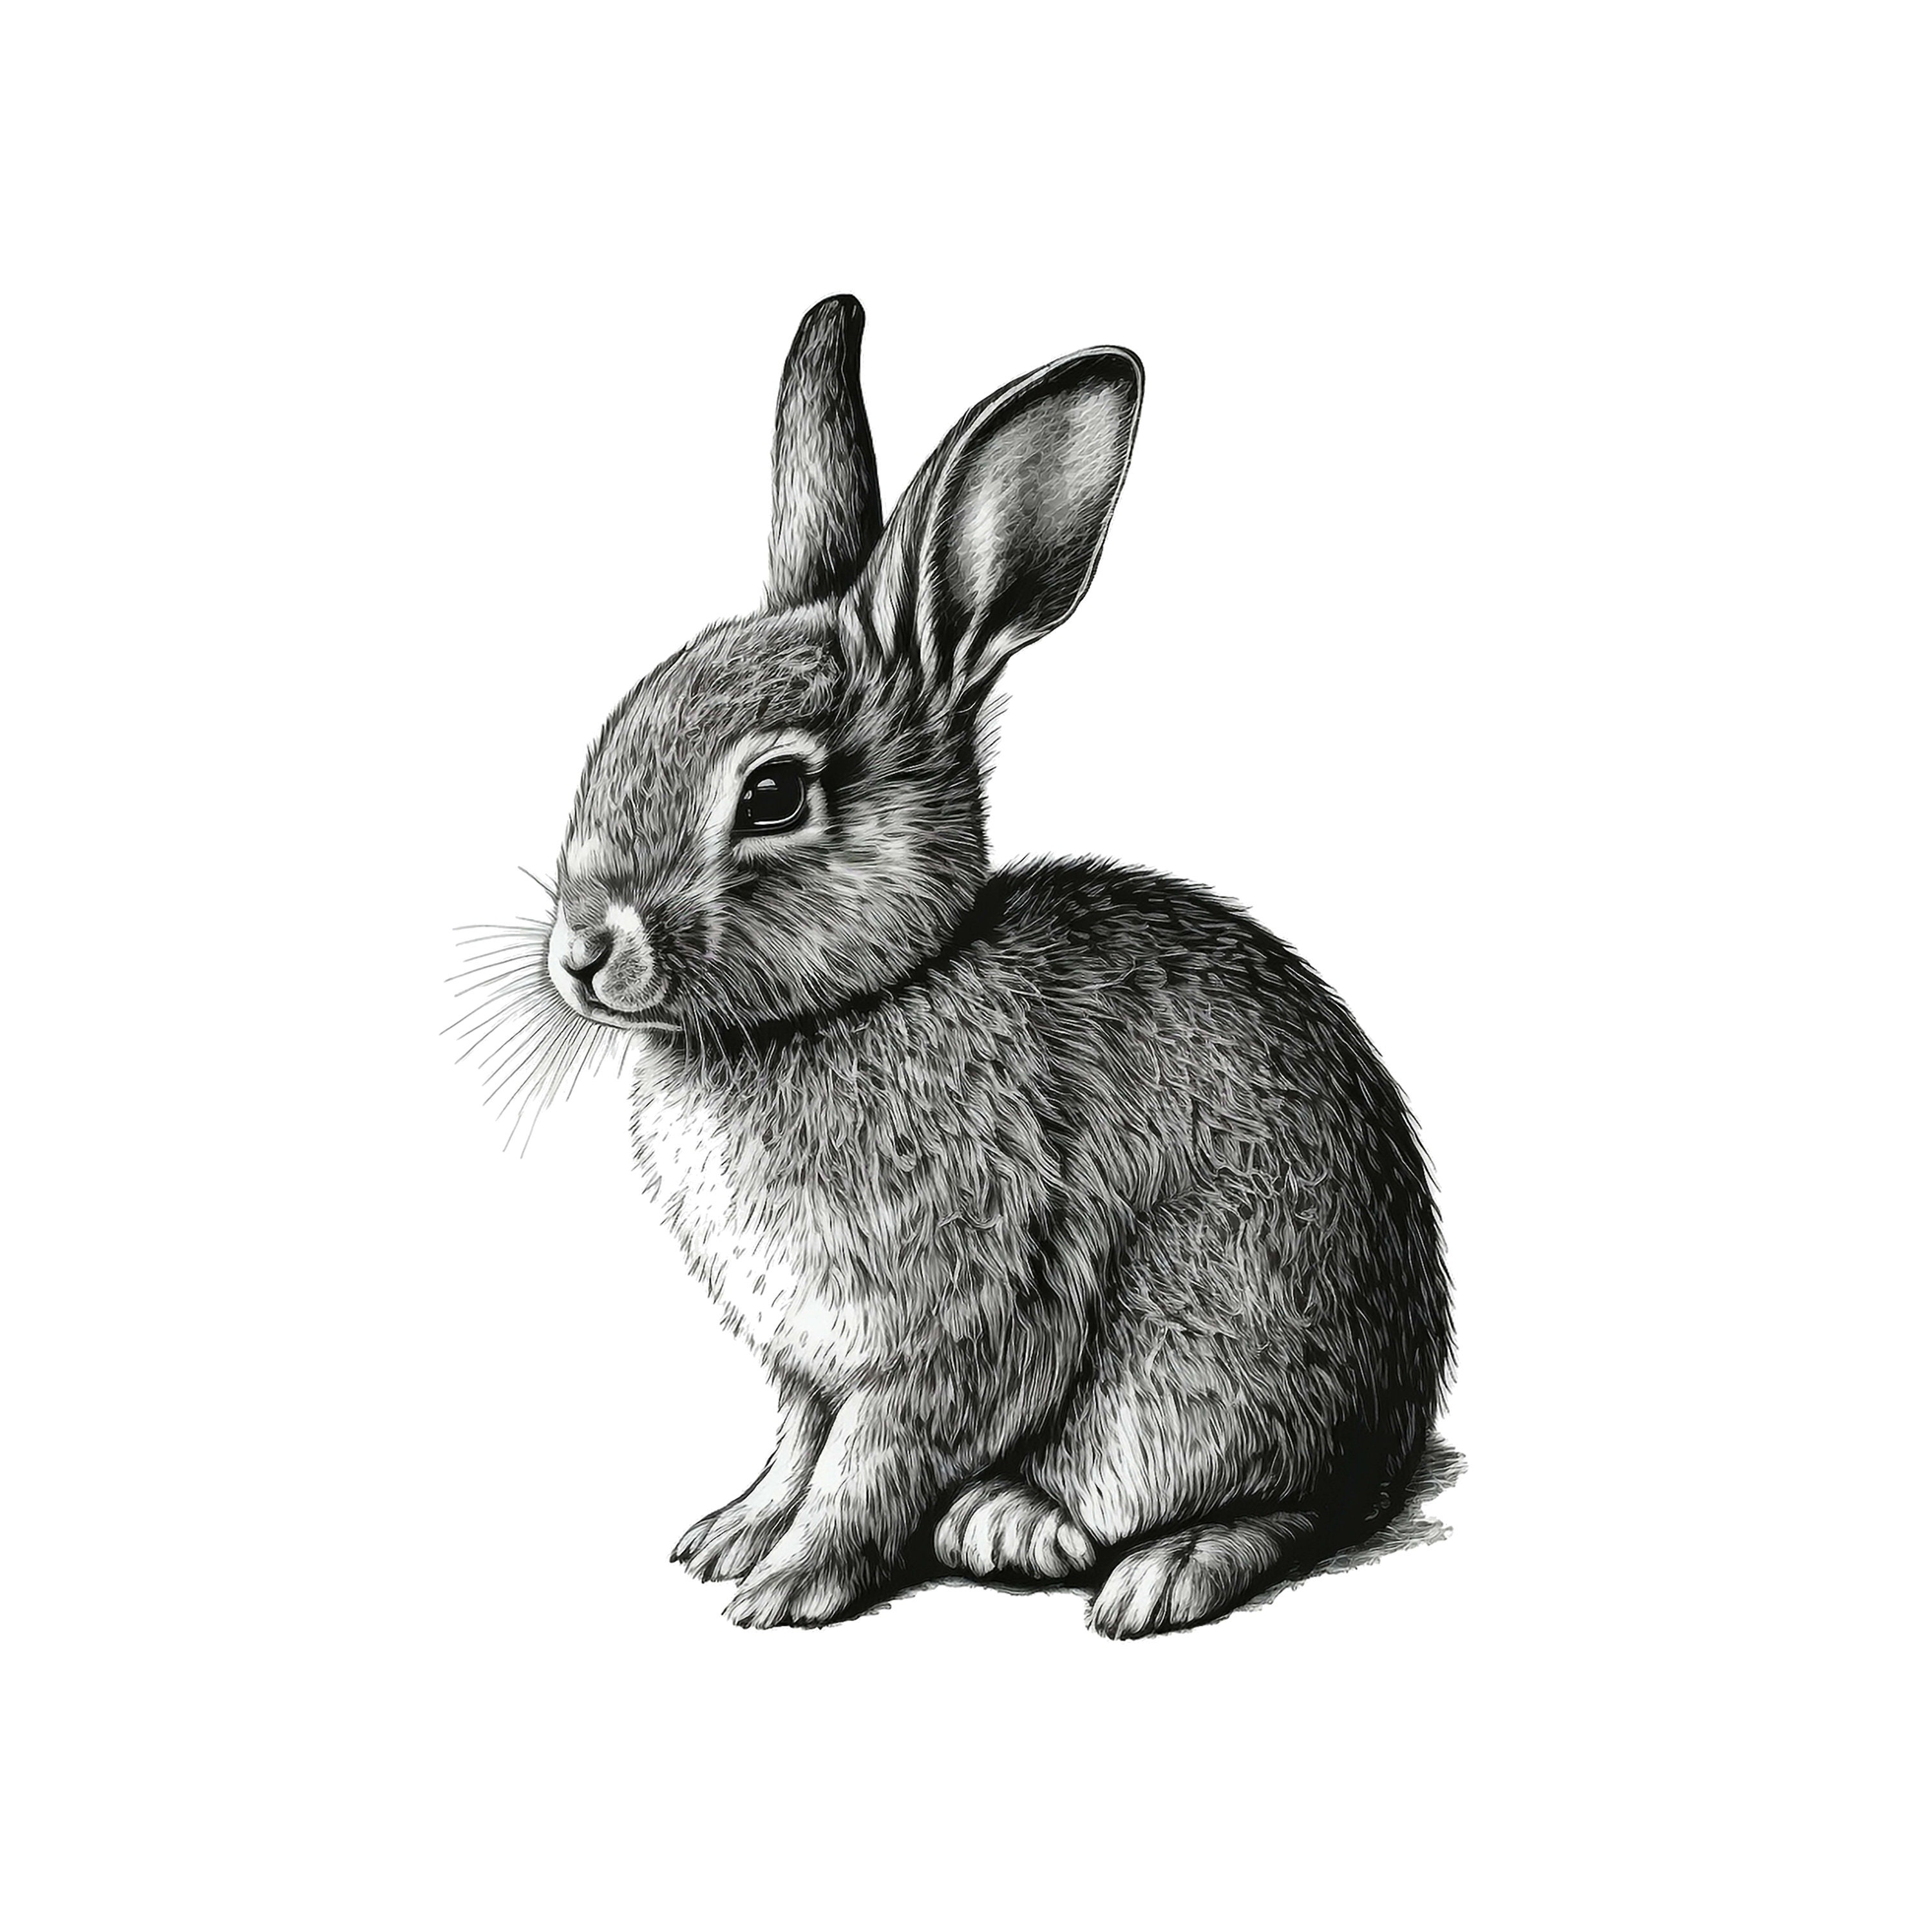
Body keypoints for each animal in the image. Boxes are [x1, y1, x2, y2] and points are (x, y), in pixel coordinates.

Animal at [539, 295, 1452, 1637]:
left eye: (772, 795)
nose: (583, 954)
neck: (873, 992)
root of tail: (1409, 1407)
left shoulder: (970, 1321)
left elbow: (871, 1467)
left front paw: (788, 1588)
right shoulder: (808, 1366)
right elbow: (798, 1445)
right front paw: (731, 1535)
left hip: (1212, 1366)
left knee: (1296, 1508)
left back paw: (1126, 1561)